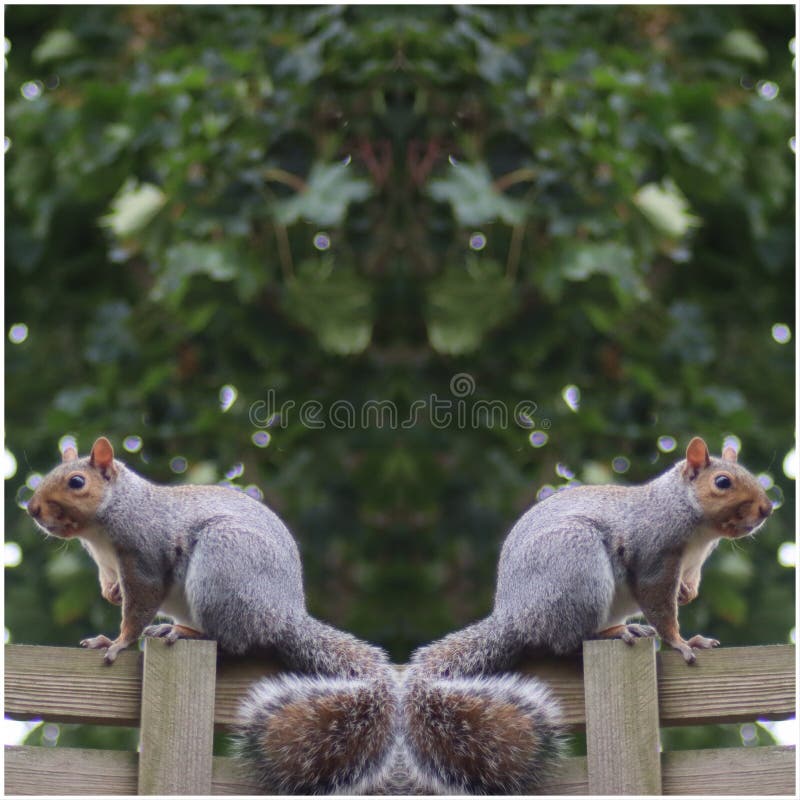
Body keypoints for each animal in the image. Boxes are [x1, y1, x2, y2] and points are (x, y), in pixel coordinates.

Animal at [26, 436, 399, 794]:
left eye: (77, 482)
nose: (32, 509)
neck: (102, 526)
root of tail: (284, 617)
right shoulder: (105, 563)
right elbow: (110, 585)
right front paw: (110, 597)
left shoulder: (144, 557)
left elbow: (139, 608)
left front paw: (118, 642)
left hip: (222, 565)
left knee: (232, 642)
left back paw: (186, 633)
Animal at [400, 437, 773, 794]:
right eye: (722, 482)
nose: (767, 508)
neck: (696, 526)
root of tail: (514, 618)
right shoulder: (654, 555)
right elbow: (660, 608)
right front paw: (680, 642)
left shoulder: (694, 563)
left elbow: (688, 585)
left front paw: (688, 598)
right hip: (577, 563)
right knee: (568, 642)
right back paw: (614, 633)